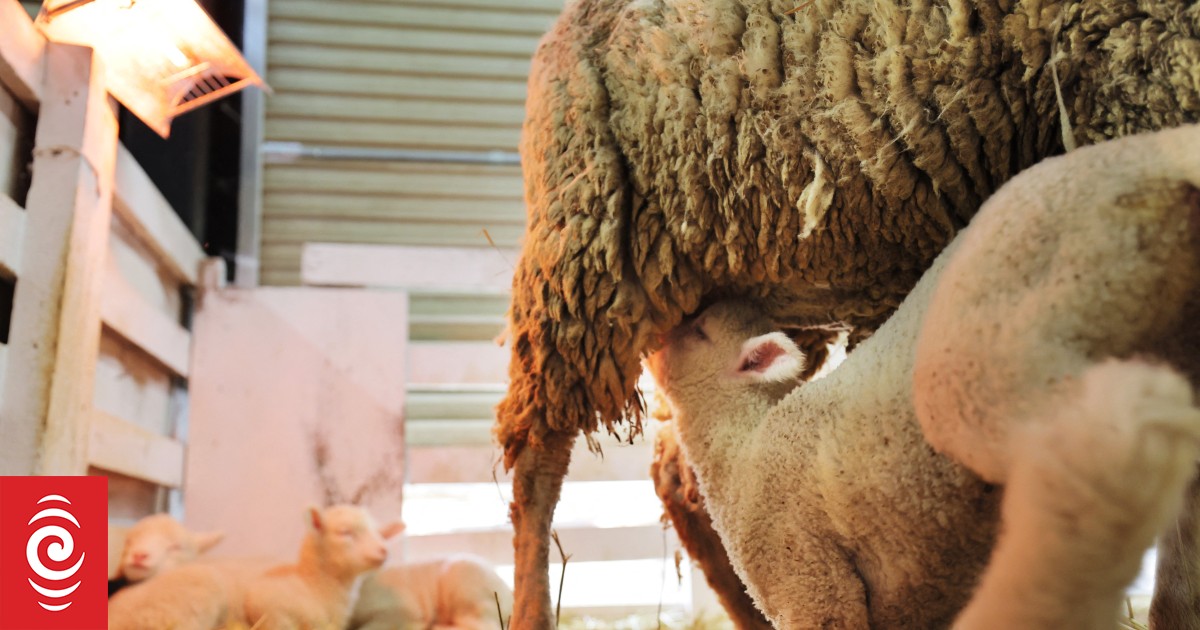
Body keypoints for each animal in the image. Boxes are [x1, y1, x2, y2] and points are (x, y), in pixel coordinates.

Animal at [645, 124, 1200, 627]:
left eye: (698, 330)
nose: (658, 337)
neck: (739, 447)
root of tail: (1160, 157)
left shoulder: (807, 577)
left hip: (990, 364)